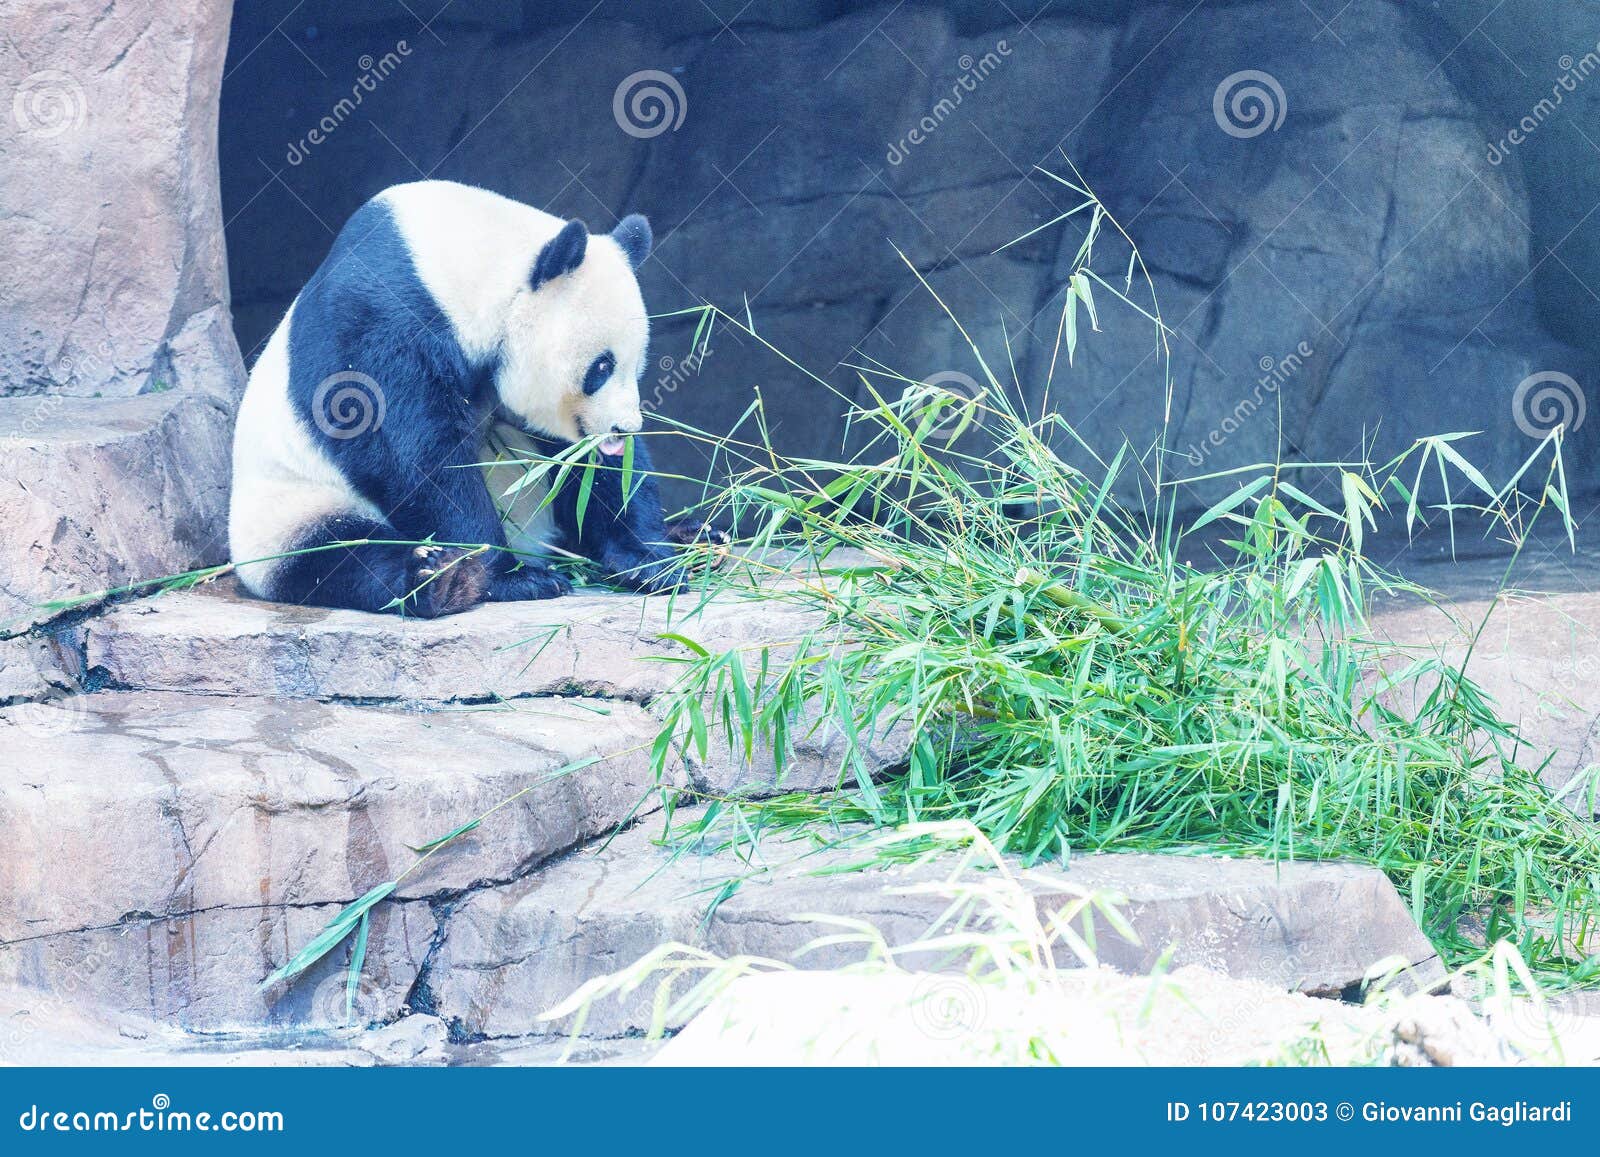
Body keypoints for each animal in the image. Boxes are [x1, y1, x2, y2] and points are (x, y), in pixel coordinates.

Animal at [229, 179, 706, 618]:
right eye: (601, 368)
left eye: (636, 366)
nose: (623, 429)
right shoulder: (379, 321)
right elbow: (414, 456)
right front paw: (513, 578)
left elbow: (590, 472)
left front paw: (650, 562)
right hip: (289, 515)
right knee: (342, 557)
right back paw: (440, 579)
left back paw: (695, 536)